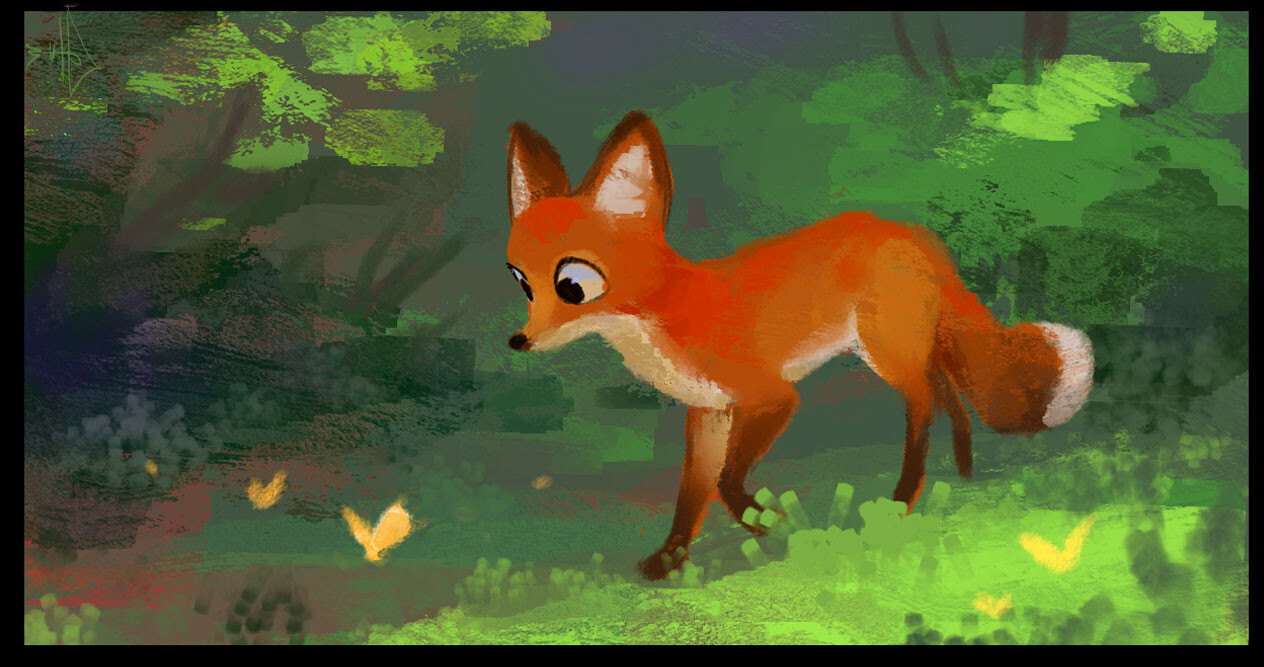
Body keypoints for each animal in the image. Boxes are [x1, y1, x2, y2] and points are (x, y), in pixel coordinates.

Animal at [504, 110, 1094, 580]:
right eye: (521, 283)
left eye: (573, 286)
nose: (519, 341)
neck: (666, 315)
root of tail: (905, 228)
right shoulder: (709, 413)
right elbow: (693, 494)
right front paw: (673, 559)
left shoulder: (772, 397)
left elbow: (727, 482)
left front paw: (768, 522)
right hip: (906, 347)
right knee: (951, 398)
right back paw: (963, 476)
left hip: (886, 353)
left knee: (925, 408)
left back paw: (902, 499)